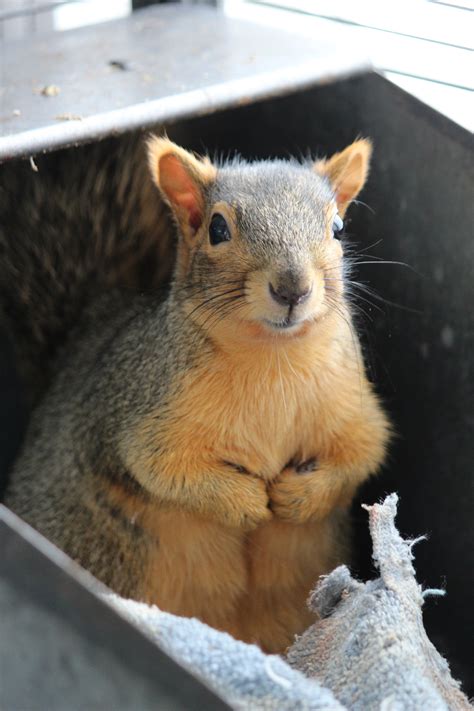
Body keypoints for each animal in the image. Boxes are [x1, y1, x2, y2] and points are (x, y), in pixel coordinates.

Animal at [4, 136, 390, 653]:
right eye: (218, 228)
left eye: (338, 227)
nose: (292, 288)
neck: (274, 359)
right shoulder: (139, 410)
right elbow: (163, 471)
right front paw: (244, 502)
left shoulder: (354, 408)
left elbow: (361, 454)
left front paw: (298, 497)